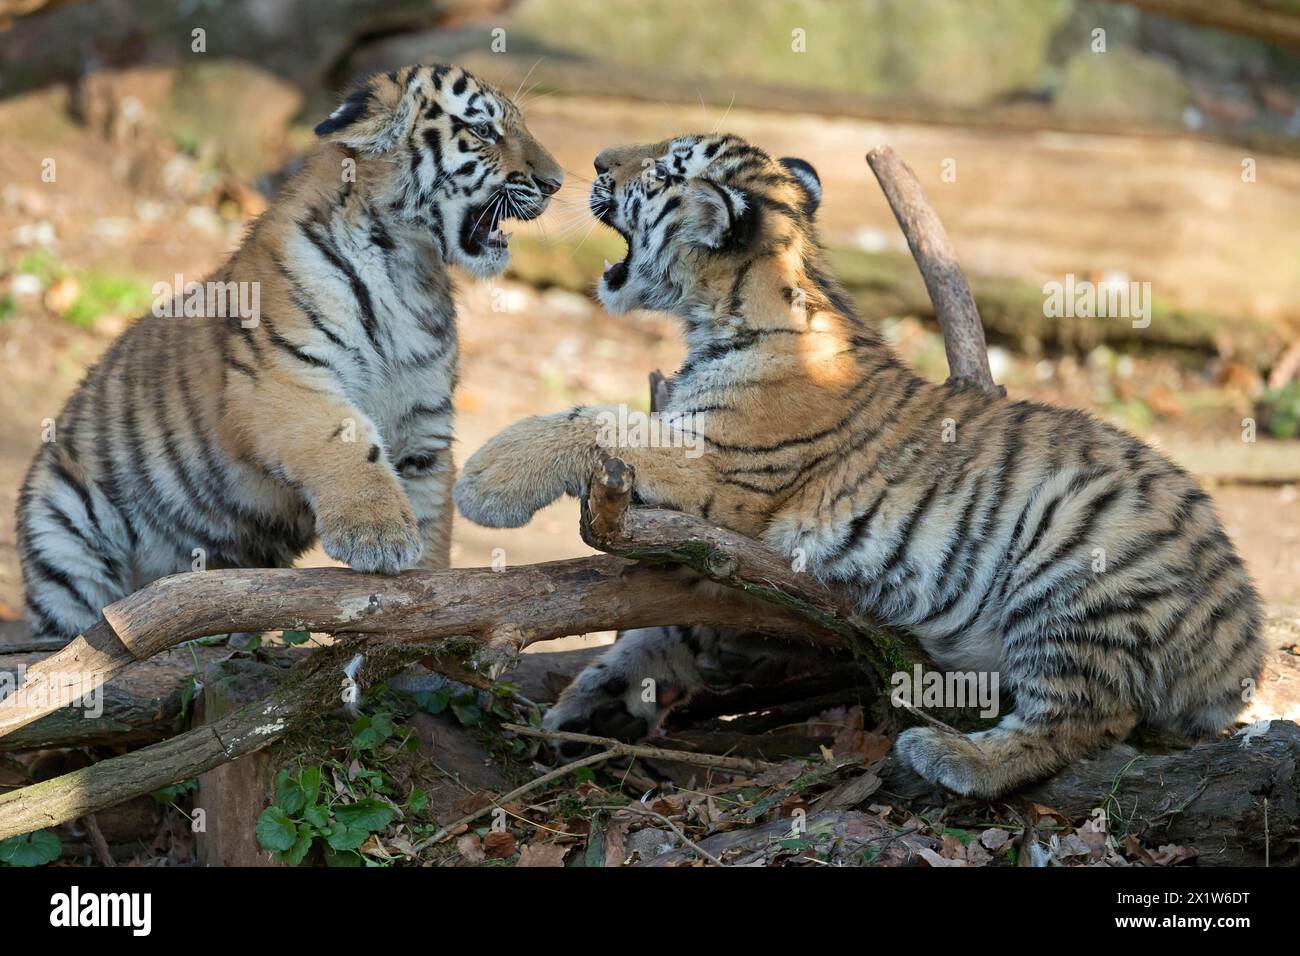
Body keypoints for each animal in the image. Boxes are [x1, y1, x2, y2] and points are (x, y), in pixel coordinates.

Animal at [16, 63, 562, 644]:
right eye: (483, 131)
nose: (556, 182)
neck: (409, 268)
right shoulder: (284, 377)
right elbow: (349, 447)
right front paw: (379, 534)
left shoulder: (424, 423)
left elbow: (432, 512)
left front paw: (434, 605)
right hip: (61, 521)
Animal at [452, 132, 1265, 798]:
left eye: (663, 170)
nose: (593, 163)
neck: (733, 311)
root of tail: (1244, 635)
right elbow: (661, 629)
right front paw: (591, 703)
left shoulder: (721, 473)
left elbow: (596, 420)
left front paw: (487, 479)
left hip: (1079, 573)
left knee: (1085, 720)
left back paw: (952, 756)